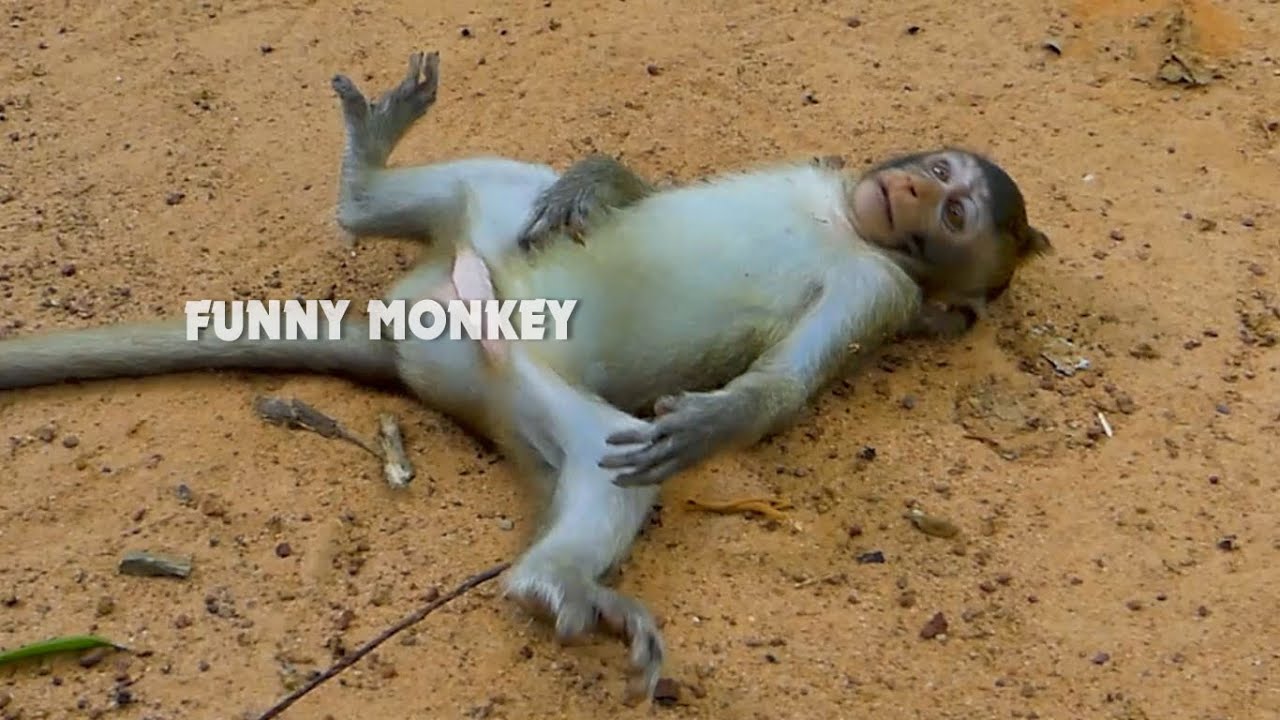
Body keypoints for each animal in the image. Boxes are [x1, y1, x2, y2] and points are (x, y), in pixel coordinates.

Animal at [0, 50, 1052, 703]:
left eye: (957, 216)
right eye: (942, 174)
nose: (908, 188)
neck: (846, 220)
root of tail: (403, 331)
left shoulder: (880, 287)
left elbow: (785, 386)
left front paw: (710, 425)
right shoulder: (821, 169)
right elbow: (636, 190)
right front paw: (596, 179)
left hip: (510, 379)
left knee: (605, 464)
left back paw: (558, 582)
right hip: (485, 247)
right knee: (498, 191)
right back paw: (371, 181)